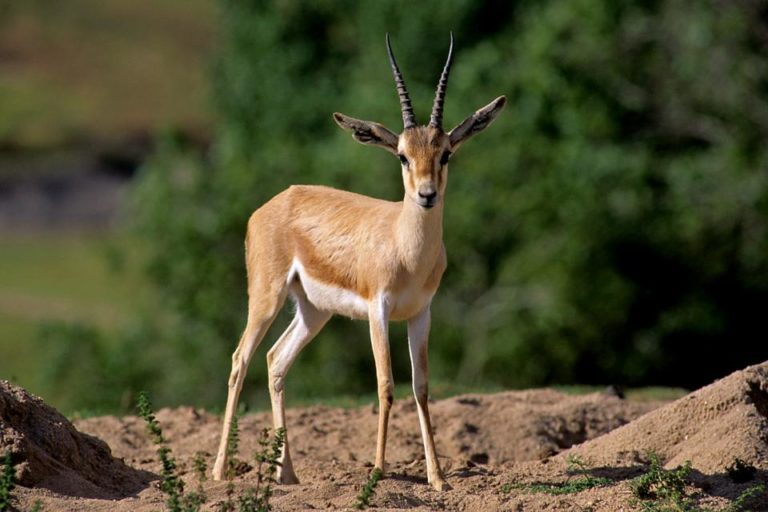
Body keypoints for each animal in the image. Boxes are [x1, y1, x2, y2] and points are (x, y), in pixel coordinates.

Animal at [211, 34, 505, 491]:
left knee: (275, 360)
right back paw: (220, 470)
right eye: (402, 155)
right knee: (240, 358)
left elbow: (421, 387)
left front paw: (438, 478)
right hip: (266, 298)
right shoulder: (377, 309)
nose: (426, 195)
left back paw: (288, 475)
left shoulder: (421, 313)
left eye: (445, 154)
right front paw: (380, 470)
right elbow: (385, 384)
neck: (405, 246)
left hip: (313, 311)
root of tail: (274, 203)